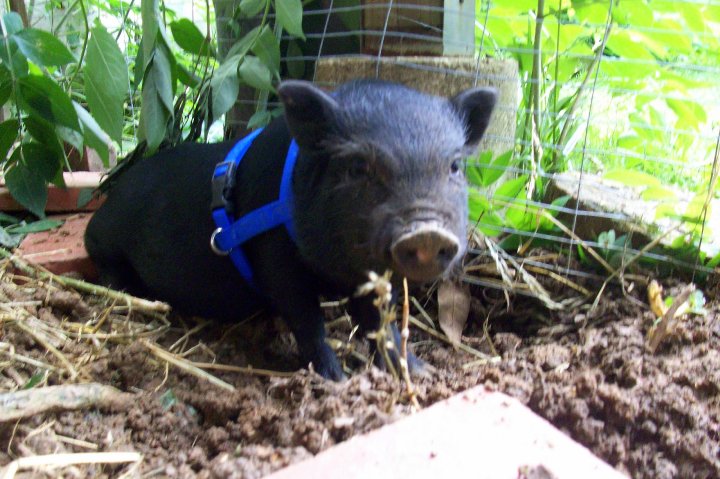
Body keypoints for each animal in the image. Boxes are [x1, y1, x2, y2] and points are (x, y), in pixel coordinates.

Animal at [85, 79, 497, 380]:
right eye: (357, 167)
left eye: (455, 166)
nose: (427, 232)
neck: (338, 271)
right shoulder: (275, 258)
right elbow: (307, 320)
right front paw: (336, 378)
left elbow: (380, 323)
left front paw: (421, 372)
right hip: (104, 243)